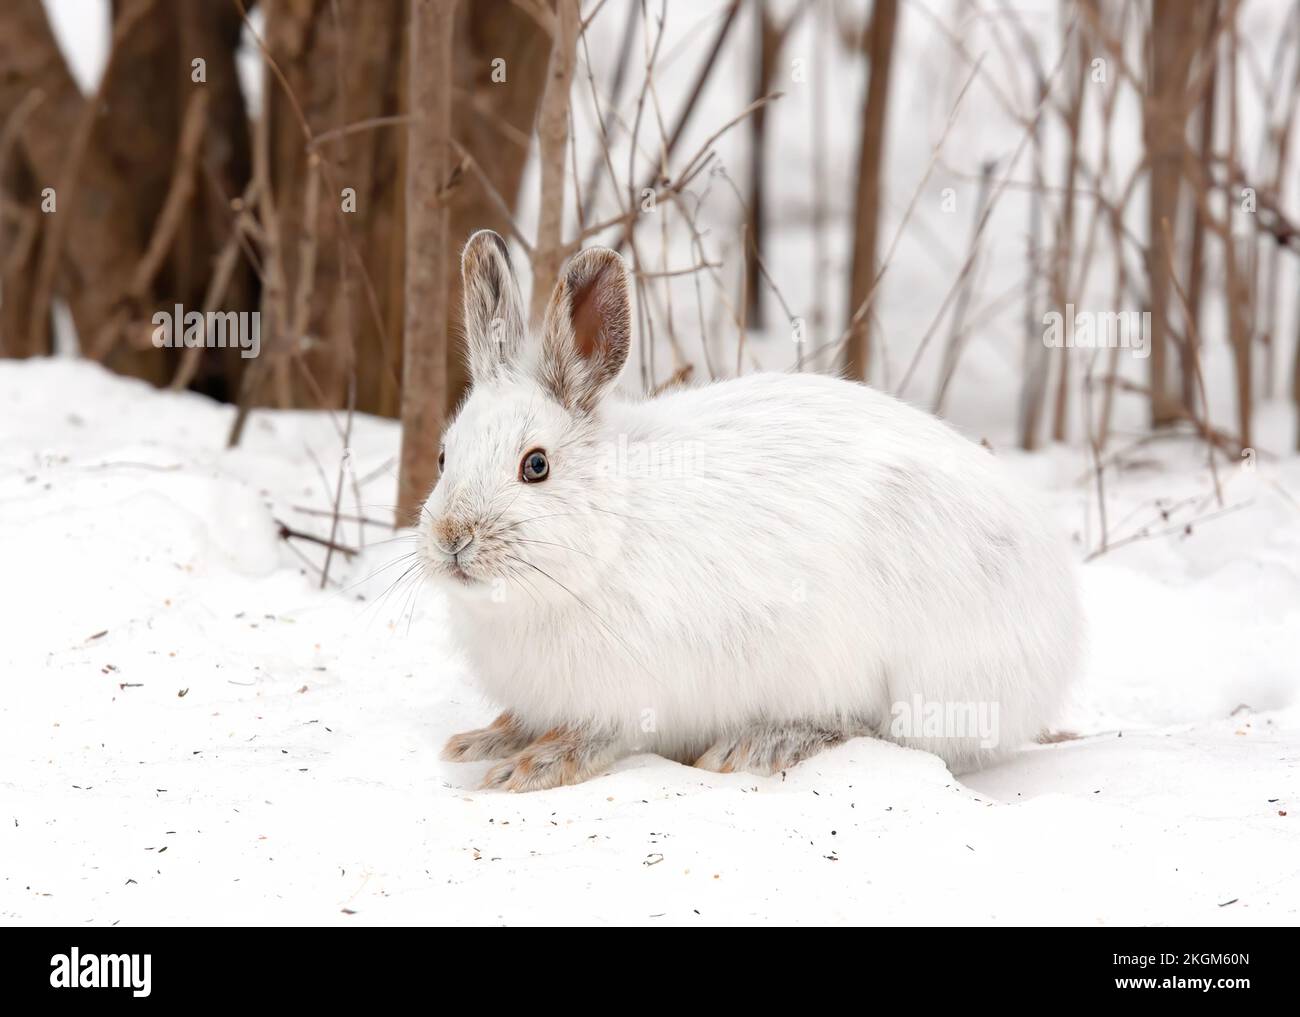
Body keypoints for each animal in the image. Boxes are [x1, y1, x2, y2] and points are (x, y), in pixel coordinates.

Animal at [422, 229, 1083, 792]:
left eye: (535, 466)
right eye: (443, 455)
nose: (453, 537)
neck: (606, 538)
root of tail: (1055, 647)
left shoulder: (631, 692)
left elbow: (600, 736)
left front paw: (531, 768)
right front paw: (484, 740)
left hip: (895, 671)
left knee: (874, 729)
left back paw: (758, 746)